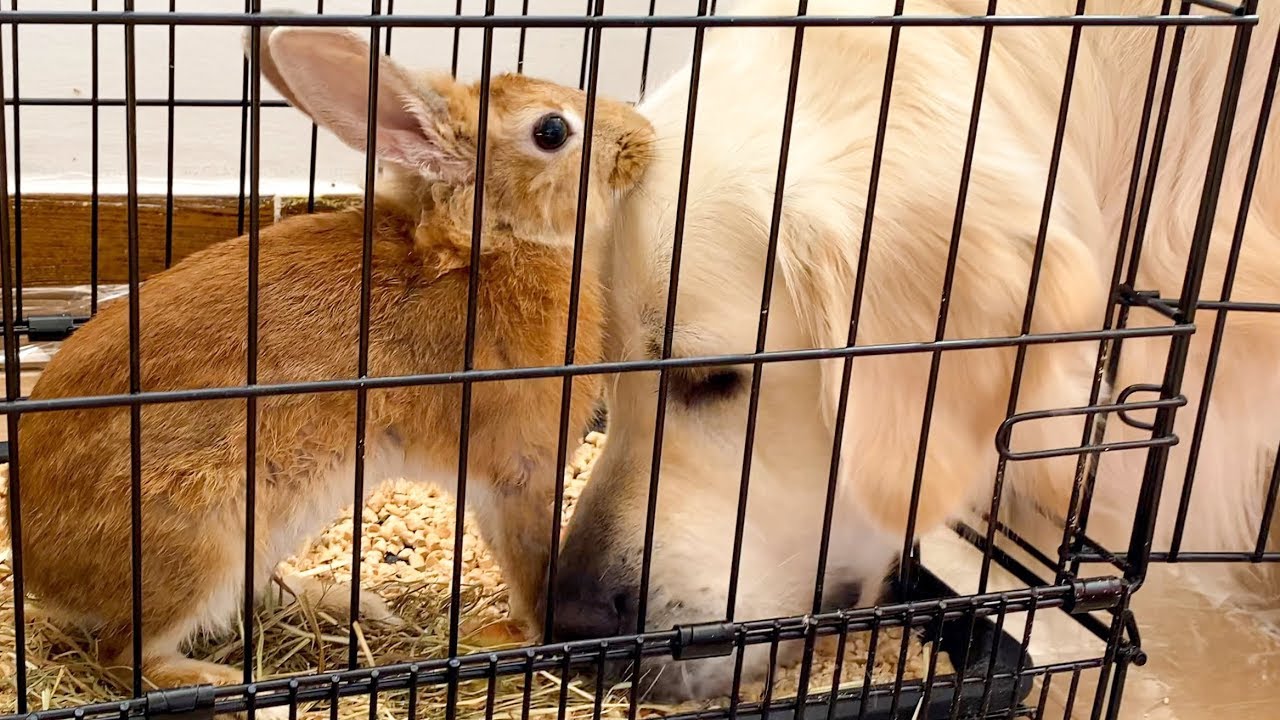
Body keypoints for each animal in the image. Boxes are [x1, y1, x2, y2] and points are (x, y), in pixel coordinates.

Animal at [8, 20, 654, 702]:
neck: (489, 241)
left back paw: (348, 602)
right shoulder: (518, 469)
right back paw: (222, 681)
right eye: (552, 131)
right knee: (124, 655)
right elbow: (531, 561)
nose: (640, 138)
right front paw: (523, 636)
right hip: (197, 545)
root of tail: (39, 569)